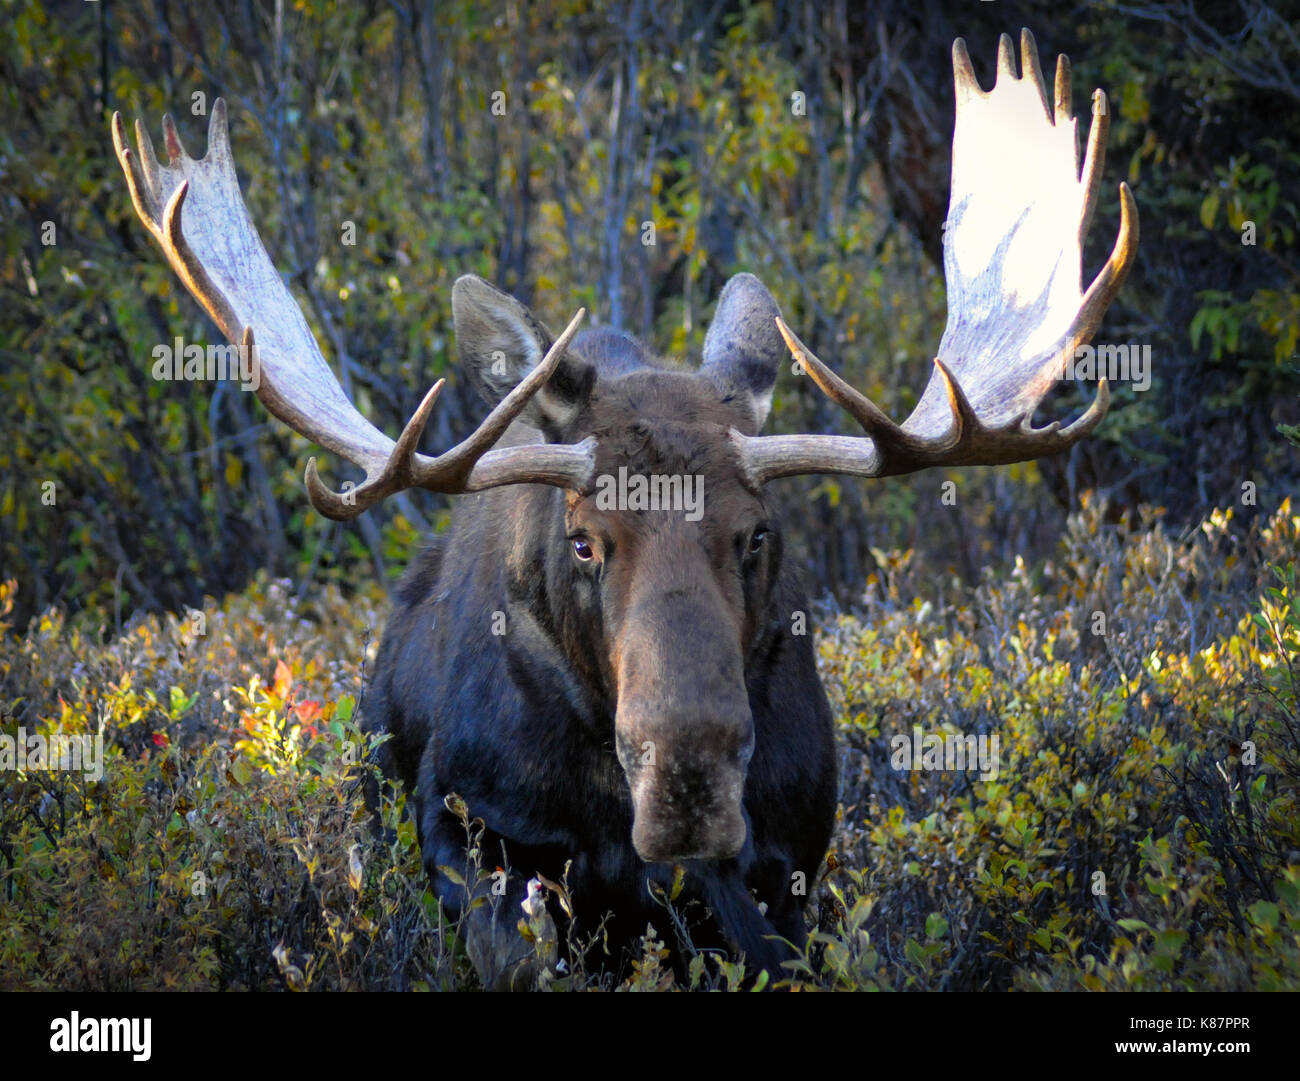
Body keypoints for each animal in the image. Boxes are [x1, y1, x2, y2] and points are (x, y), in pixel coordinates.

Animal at [113, 28, 1136, 988]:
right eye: (583, 541)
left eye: (757, 533)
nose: (689, 779)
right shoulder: (469, 831)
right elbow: (519, 954)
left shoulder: (788, 868)